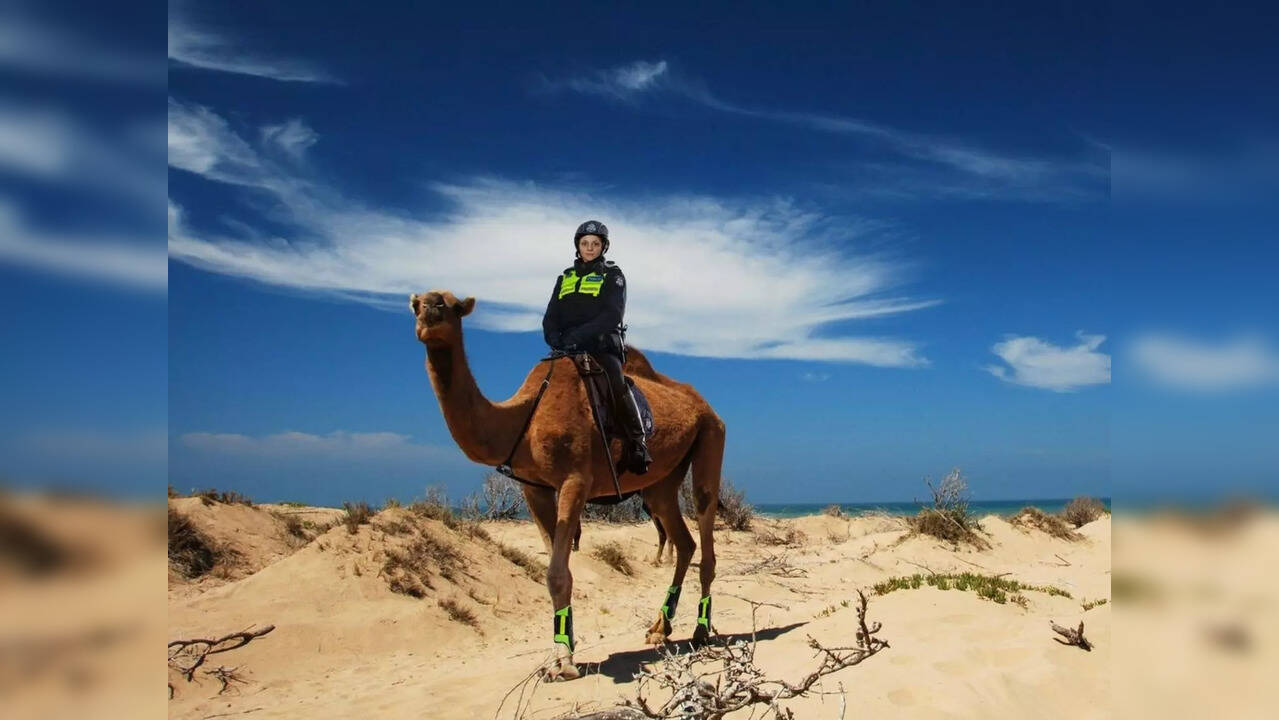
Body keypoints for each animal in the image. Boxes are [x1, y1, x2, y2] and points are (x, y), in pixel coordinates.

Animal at [410, 291, 726, 680]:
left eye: (453, 306)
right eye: (416, 304)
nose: (430, 311)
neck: (523, 418)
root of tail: (705, 405)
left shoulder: (575, 480)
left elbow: (558, 574)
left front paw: (564, 662)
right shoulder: (534, 487)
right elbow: (556, 569)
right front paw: (561, 652)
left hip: (711, 435)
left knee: (705, 516)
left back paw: (700, 630)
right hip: (662, 481)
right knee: (682, 538)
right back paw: (659, 629)